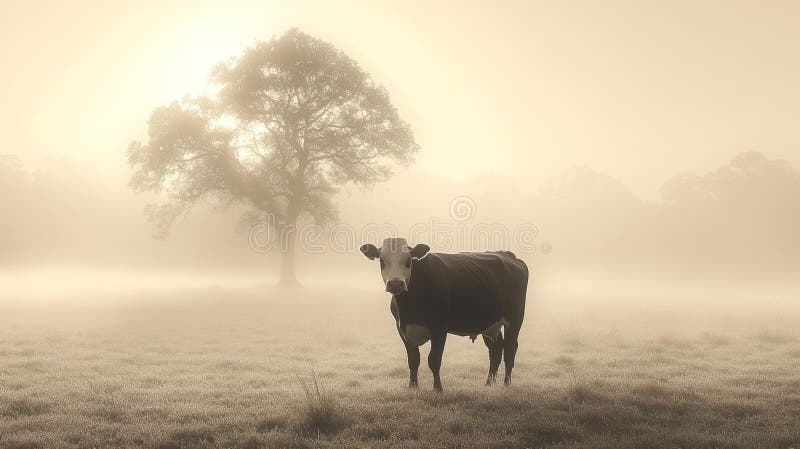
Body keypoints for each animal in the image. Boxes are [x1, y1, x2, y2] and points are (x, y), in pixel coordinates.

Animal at [360, 238, 529, 391]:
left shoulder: (439, 329)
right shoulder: (402, 329)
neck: (410, 307)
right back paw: (488, 384)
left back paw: (506, 384)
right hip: (489, 322)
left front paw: (437, 388)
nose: (396, 283)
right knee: (496, 350)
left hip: (515, 318)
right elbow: (413, 360)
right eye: (382, 260)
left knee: (510, 349)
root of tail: (507, 255)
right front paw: (413, 386)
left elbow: (434, 360)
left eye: (408, 260)